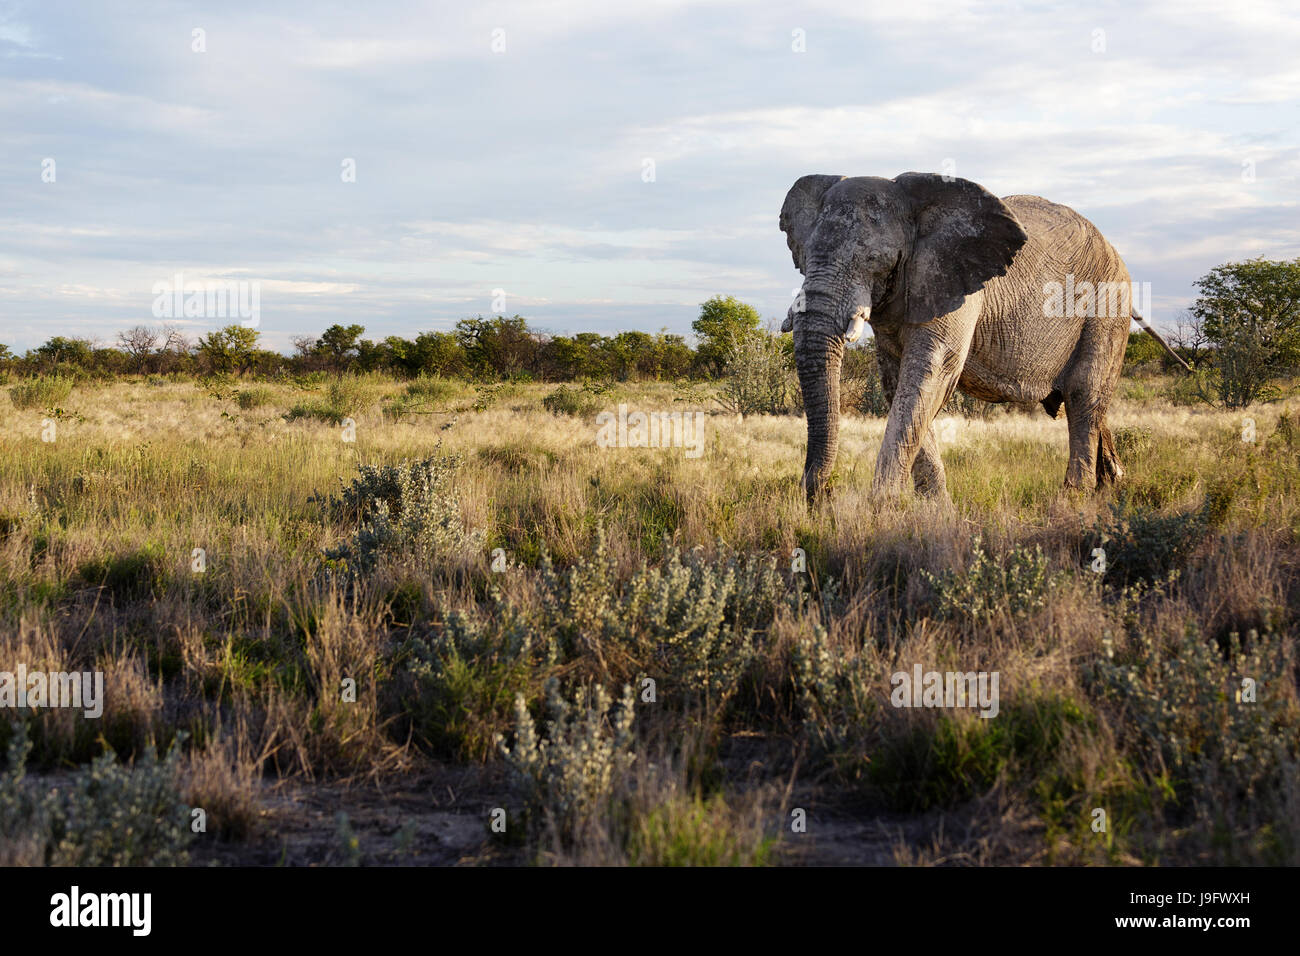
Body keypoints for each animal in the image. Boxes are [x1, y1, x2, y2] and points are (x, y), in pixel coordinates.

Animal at [778, 172, 1189, 503]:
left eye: (876, 259)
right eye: (803, 256)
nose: (821, 496)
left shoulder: (958, 284)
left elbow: (931, 371)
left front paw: (883, 509)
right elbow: (897, 382)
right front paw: (934, 511)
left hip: (1105, 308)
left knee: (1084, 397)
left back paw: (1074, 501)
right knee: (1092, 404)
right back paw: (1111, 485)